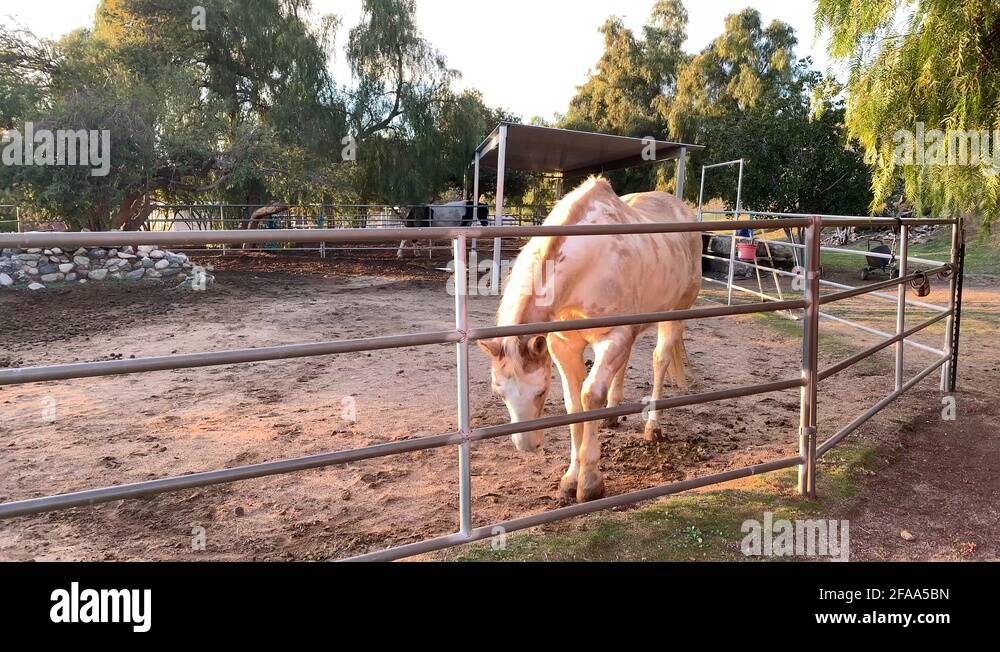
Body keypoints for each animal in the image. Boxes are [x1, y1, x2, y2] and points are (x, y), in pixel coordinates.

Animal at [477, 177, 701, 503]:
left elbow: (590, 396)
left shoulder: (612, 338)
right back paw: (612, 414)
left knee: (659, 361)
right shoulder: (564, 346)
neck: (589, 263)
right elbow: (573, 404)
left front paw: (590, 482)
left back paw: (652, 427)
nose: (528, 446)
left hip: (673, 317)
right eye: (499, 392)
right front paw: (570, 479)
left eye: (540, 392)